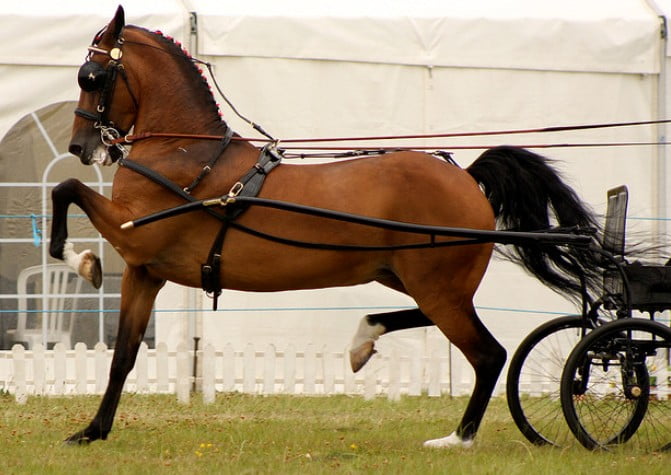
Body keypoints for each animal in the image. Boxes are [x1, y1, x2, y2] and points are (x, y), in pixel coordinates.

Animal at [52, 6, 603, 447]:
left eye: (91, 76)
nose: (81, 146)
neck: (187, 154)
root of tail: (464, 177)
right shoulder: (145, 270)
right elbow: (123, 355)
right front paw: (92, 431)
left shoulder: (133, 232)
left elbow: (66, 190)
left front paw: (82, 261)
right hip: (410, 278)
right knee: (439, 325)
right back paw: (365, 339)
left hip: (438, 287)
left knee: (488, 354)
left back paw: (458, 439)